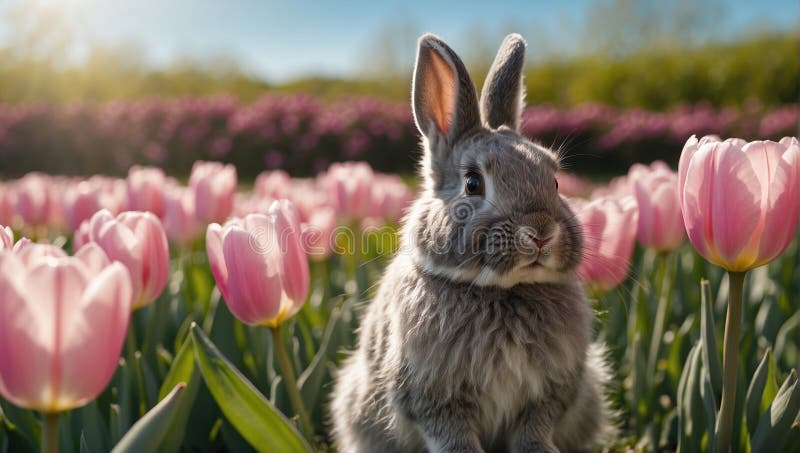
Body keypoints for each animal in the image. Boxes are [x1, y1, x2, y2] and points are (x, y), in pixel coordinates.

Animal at [331, 33, 616, 453]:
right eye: (473, 183)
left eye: (555, 180)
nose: (541, 231)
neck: (502, 290)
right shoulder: (435, 398)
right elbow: (453, 437)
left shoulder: (548, 393)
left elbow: (535, 429)